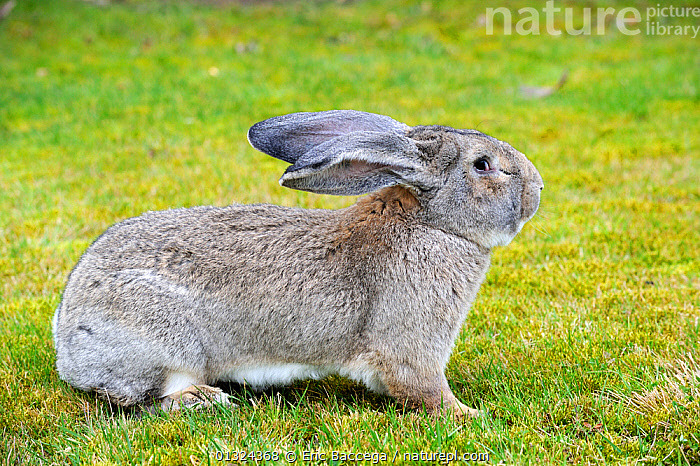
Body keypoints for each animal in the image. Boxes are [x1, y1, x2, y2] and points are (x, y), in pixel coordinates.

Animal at [52, 110, 543, 418]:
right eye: (484, 165)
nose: (537, 189)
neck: (433, 224)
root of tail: (66, 338)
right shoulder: (410, 345)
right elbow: (423, 390)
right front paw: (472, 414)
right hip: (165, 343)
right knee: (142, 397)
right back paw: (205, 400)